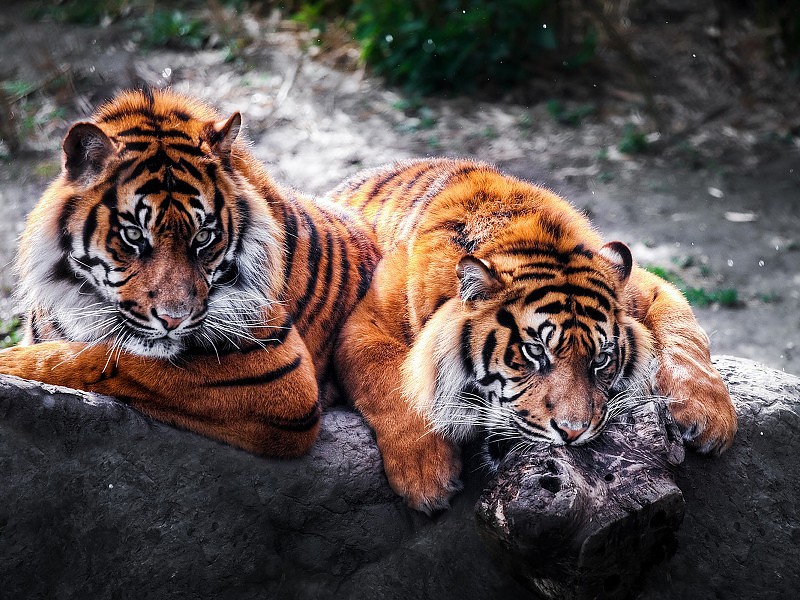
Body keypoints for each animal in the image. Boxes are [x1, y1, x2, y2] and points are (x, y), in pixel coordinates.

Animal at [327, 158, 738, 514]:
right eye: (533, 352)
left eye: (601, 360)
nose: (572, 433)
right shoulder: (361, 325)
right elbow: (396, 385)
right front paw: (427, 477)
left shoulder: (646, 288)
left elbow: (684, 331)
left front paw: (710, 417)